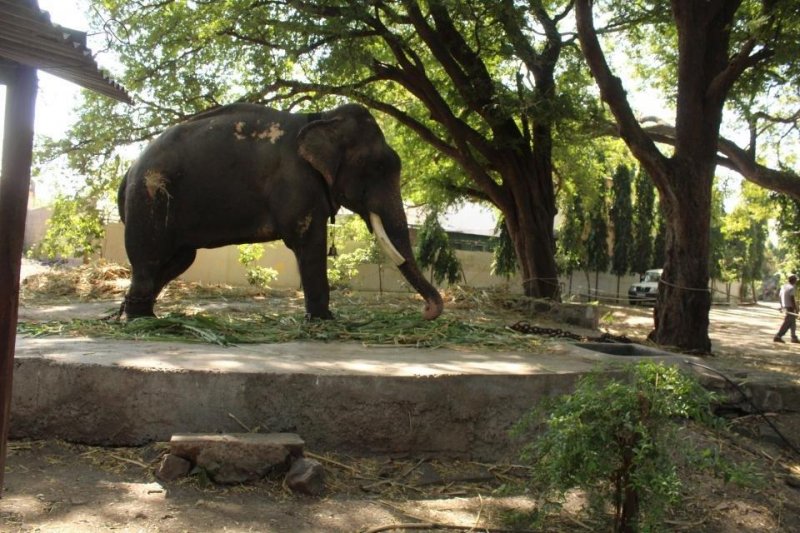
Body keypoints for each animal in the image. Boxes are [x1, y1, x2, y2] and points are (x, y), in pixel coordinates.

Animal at [117, 102, 444, 321]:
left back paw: (136, 314)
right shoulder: (296, 181)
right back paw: (141, 321)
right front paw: (324, 321)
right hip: (149, 198)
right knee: (149, 260)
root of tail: (130, 170)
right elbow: (308, 242)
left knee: (178, 260)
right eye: (378, 167)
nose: (426, 311)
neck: (322, 118)